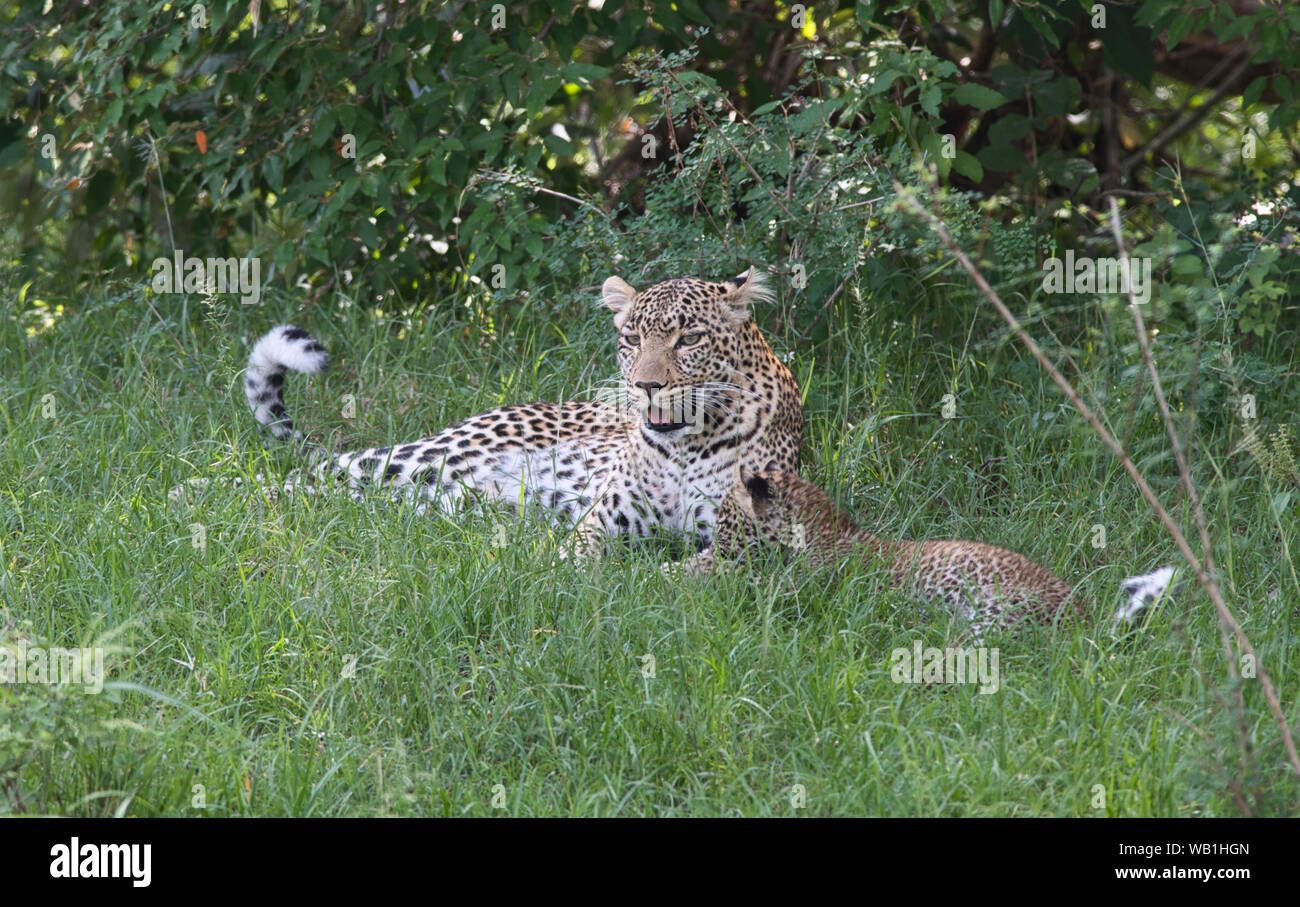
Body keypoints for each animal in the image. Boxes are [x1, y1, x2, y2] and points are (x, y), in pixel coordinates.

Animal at [234, 268, 803, 556]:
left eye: (689, 339)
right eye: (631, 339)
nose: (646, 386)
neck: (684, 447)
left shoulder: (749, 537)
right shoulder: (606, 516)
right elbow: (579, 551)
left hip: (417, 497)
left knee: (325, 495)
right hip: (425, 456)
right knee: (294, 475)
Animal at [692, 465, 1175, 639]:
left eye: (724, 515)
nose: (712, 540)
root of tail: (1081, 616)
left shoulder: (801, 589)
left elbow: (747, 583)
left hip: (991, 615)